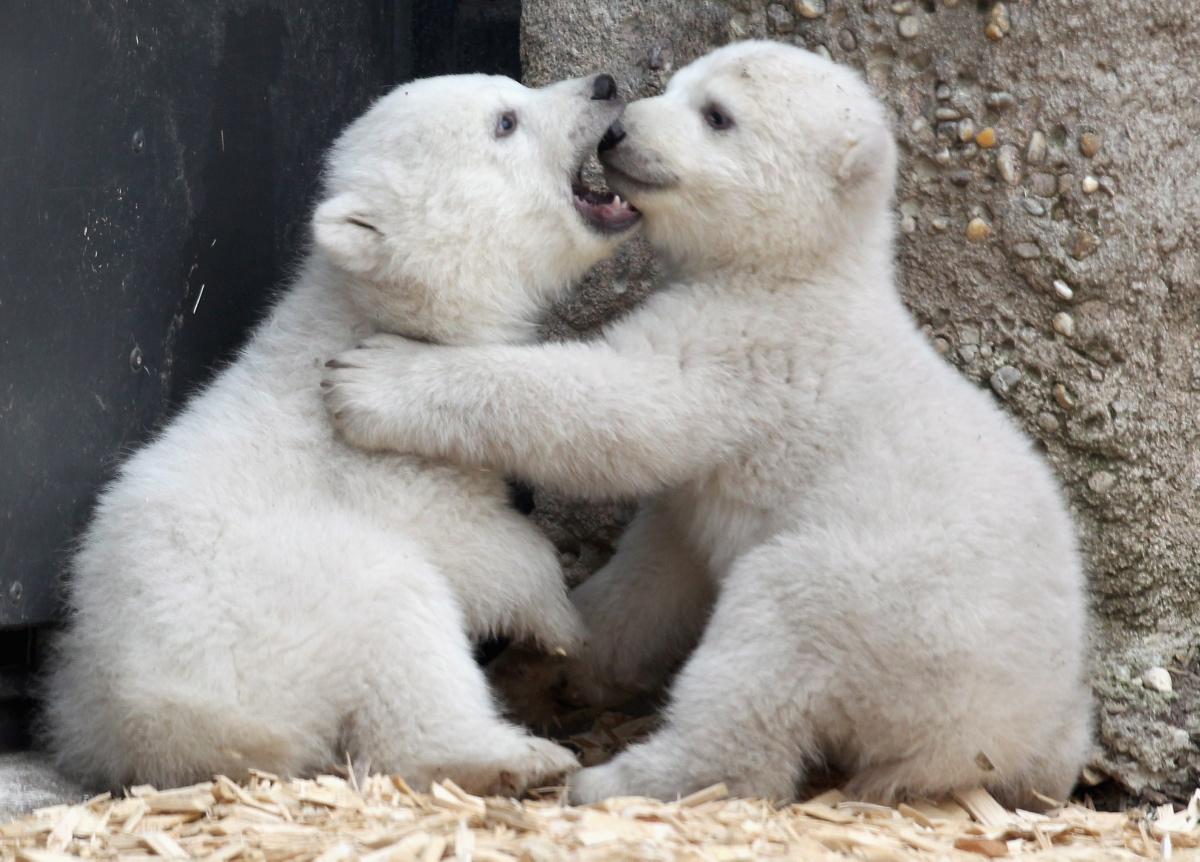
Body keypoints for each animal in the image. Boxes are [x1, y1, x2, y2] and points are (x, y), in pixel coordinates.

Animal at [42, 69, 642, 794]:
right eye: (506, 122)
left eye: (511, 88)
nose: (603, 85)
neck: (366, 314)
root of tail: (149, 722)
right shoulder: (371, 464)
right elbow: (478, 549)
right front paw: (562, 623)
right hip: (281, 614)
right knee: (402, 622)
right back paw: (515, 758)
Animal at [321, 41, 1093, 809]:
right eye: (680, 84)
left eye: (717, 115)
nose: (617, 130)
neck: (797, 272)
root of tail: (984, 744)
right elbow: (655, 572)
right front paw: (549, 663)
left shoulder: (751, 350)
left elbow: (620, 408)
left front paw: (371, 381)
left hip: (892, 607)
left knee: (769, 647)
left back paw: (625, 778)